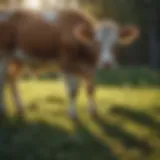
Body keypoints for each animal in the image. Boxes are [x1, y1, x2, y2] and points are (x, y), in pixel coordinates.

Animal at [0, 8, 140, 119]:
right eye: (96, 42)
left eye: (116, 43)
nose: (107, 63)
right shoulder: (66, 63)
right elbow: (72, 91)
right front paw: (73, 114)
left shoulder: (89, 68)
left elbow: (90, 89)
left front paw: (93, 112)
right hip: (4, 56)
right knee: (3, 80)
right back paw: (3, 110)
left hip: (17, 60)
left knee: (12, 80)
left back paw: (19, 108)